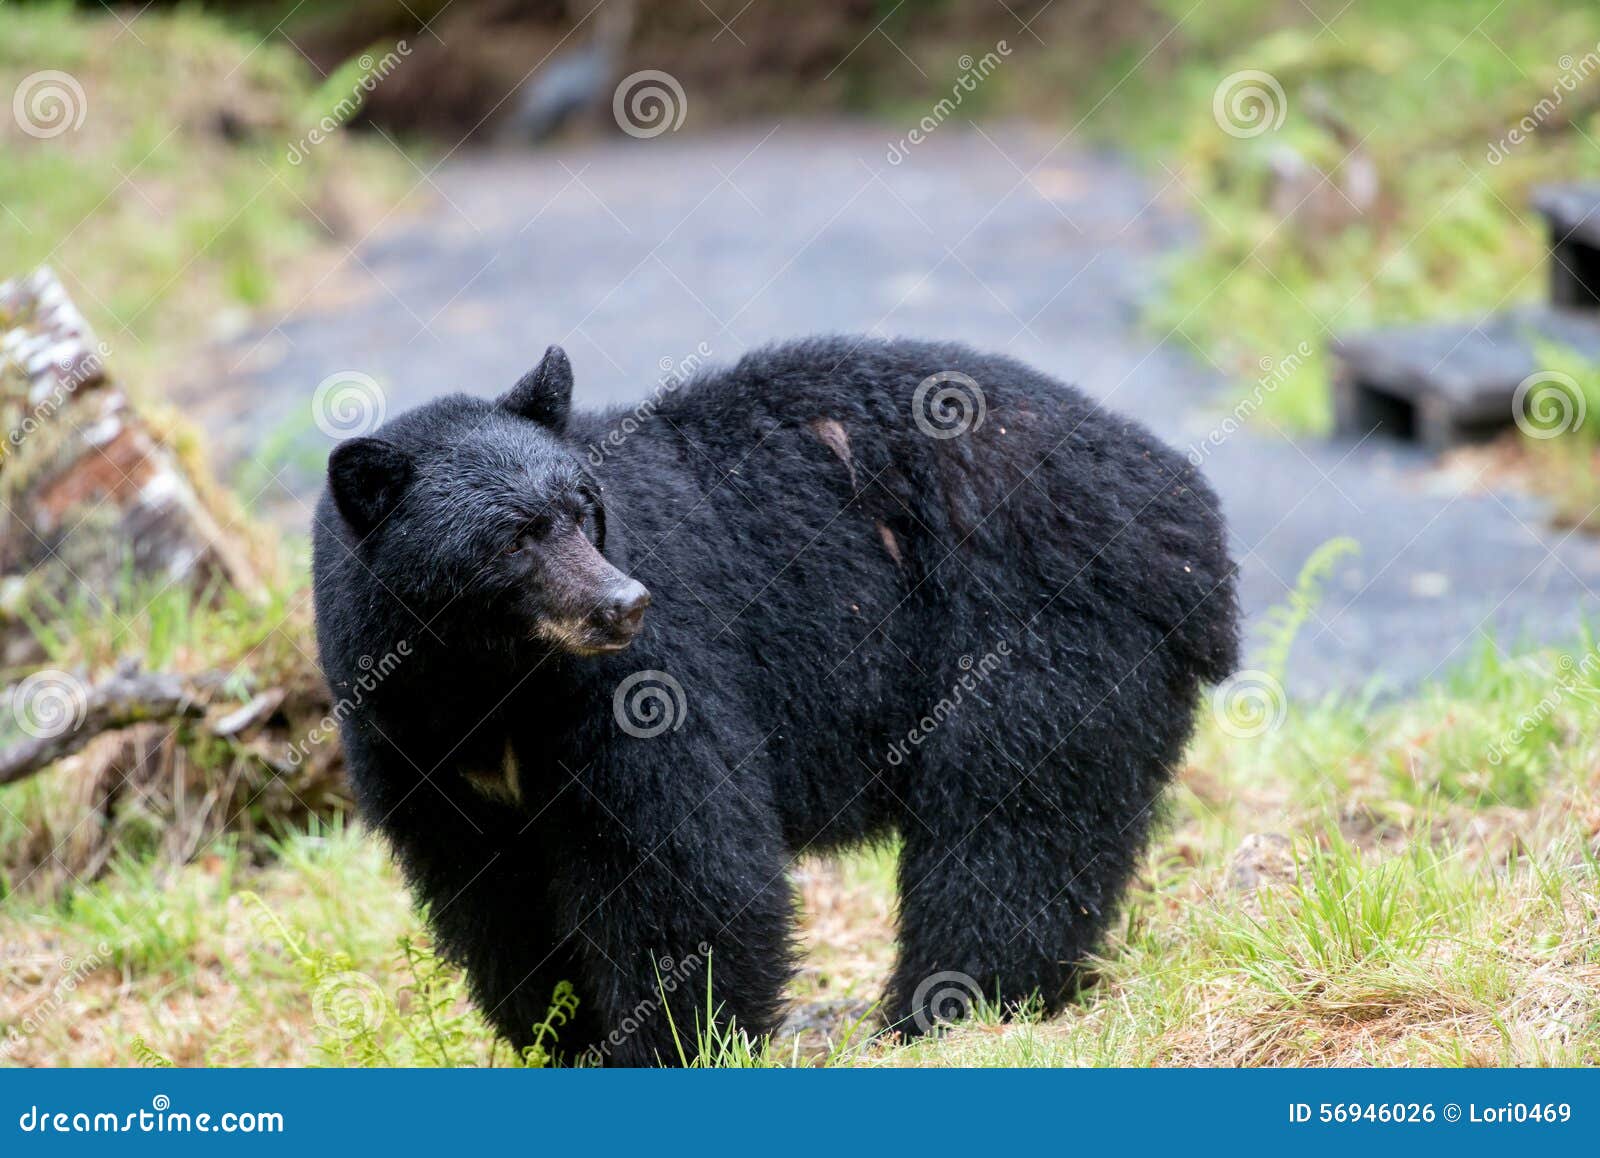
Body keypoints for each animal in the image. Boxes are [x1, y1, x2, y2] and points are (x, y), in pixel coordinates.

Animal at [310, 336, 1239, 1065]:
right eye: (512, 540)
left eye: (584, 509)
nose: (623, 605)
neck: (488, 683)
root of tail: (1186, 513)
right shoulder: (411, 744)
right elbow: (496, 904)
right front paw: (559, 1041)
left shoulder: (642, 684)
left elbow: (687, 869)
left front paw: (676, 1047)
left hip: (1035, 634)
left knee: (1010, 833)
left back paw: (942, 1013)